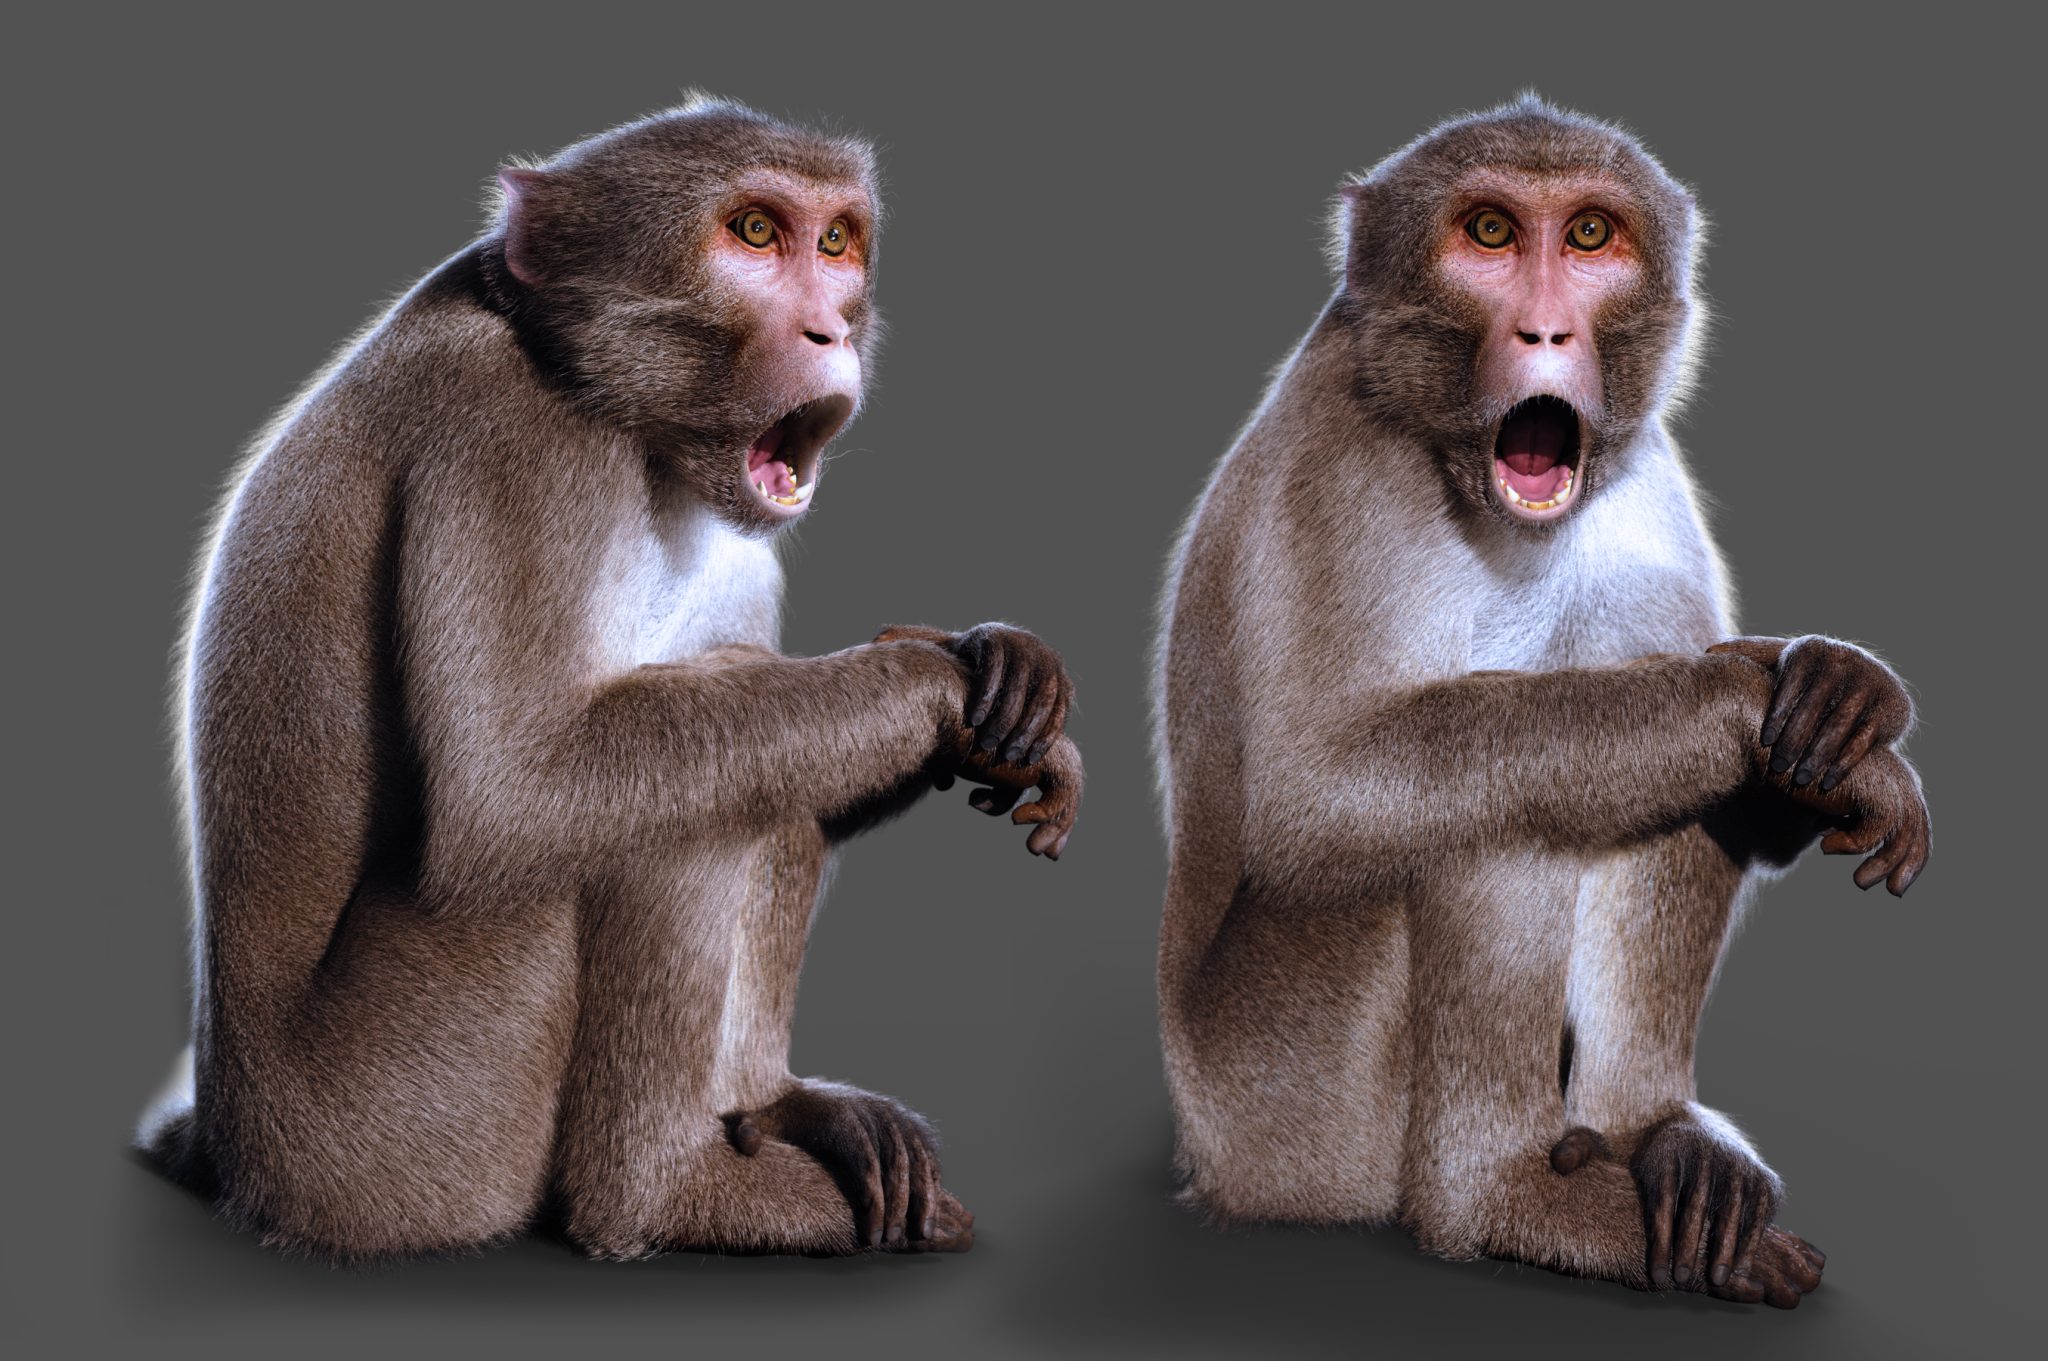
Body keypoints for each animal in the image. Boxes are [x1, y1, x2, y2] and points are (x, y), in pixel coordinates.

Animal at [137, 99, 1082, 1263]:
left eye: (835, 243)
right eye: (754, 232)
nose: (830, 330)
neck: (592, 395)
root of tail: (233, 1152)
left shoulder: (737, 540)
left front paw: (986, 666)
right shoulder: (504, 439)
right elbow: (516, 791)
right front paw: (935, 686)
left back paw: (769, 1111)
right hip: (399, 1141)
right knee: (665, 806)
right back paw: (663, 1194)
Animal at [1154, 96, 1929, 1309]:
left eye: (1588, 237)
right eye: (1487, 232)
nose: (1546, 335)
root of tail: (1199, 1150)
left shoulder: (1646, 486)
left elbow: (1758, 777)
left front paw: (1832, 693)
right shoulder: (1341, 472)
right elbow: (1320, 794)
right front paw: (1745, 701)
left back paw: (1659, 1143)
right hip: (1284, 1113)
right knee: (1489, 822)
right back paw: (1501, 1199)